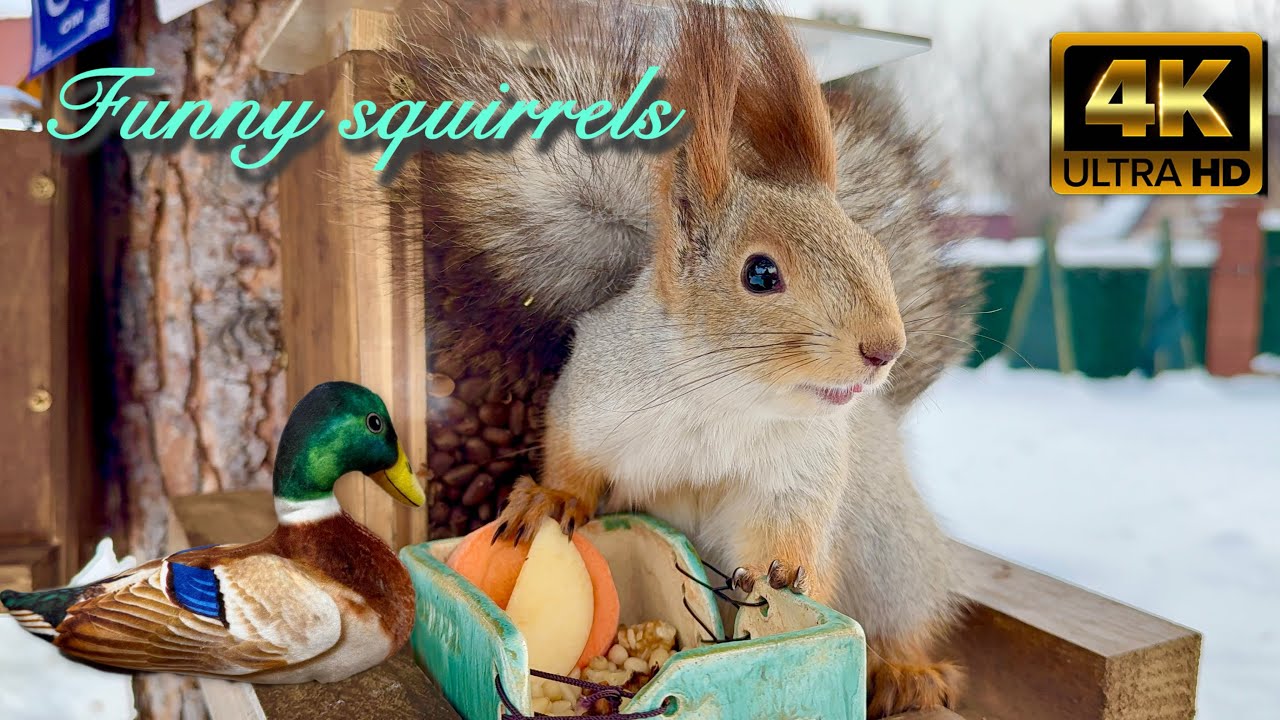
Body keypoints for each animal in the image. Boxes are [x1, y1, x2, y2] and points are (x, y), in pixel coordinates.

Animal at [395, 1, 979, 716]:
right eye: (760, 274)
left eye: (873, 250)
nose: (885, 348)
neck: (725, 394)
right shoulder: (593, 399)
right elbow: (571, 456)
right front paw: (552, 499)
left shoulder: (800, 471)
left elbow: (790, 533)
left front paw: (789, 575)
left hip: (892, 553)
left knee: (904, 618)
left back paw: (905, 670)